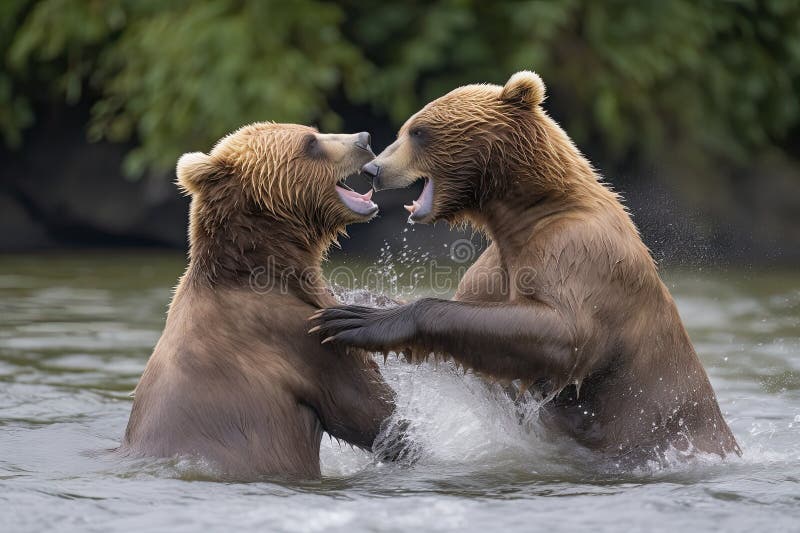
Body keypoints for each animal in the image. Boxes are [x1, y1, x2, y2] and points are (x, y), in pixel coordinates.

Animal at [310, 72, 741, 466]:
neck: (525, 213)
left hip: (653, 423)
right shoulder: (495, 265)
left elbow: (562, 332)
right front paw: (352, 301)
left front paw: (360, 321)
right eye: (404, 129)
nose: (374, 170)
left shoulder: (577, 251)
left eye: (419, 131)